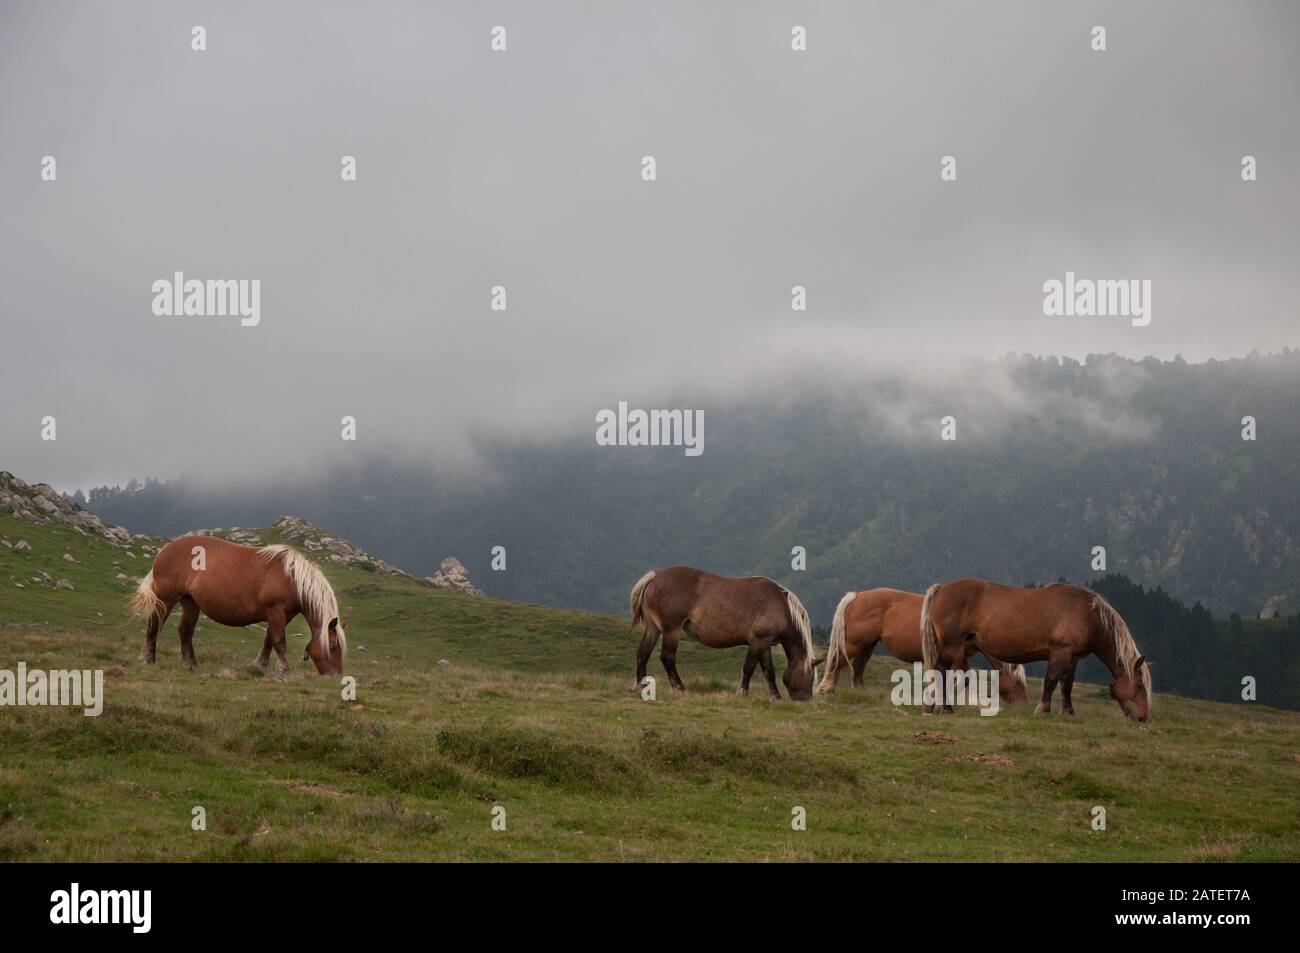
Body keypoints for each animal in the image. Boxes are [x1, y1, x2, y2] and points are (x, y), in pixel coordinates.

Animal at [129, 535, 347, 675]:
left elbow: (269, 640)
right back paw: (147, 659)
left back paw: (190, 664)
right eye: (333, 646)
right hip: (166, 599)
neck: (291, 577)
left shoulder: (282, 615)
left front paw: (259, 665)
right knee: (154, 626)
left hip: (190, 603)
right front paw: (283, 670)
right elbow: (279, 641)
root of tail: (164, 551)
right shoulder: (276, 612)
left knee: (185, 631)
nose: (335, 676)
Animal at [628, 566, 825, 700]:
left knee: (643, 653)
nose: (805, 701)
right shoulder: (758, 642)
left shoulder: (765, 644)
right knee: (667, 658)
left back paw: (641, 686)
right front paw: (742, 692)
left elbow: (768, 671)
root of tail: (654, 576)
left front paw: (775, 697)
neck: (780, 606)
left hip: (653, 629)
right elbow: (749, 668)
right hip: (671, 631)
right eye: (811, 678)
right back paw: (680, 688)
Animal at [817, 587, 1028, 705]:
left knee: (858, 668)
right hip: (855, 643)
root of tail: (857, 595)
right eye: (1018, 682)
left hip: (867, 645)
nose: (1022, 704)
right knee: (837, 661)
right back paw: (825, 689)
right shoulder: (956, 654)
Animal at [920, 579, 1151, 720]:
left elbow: (1067, 686)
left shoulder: (1073, 658)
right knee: (942, 670)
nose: (1142, 718)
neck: (1087, 615)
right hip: (952, 645)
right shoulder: (1060, 653)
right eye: (1139, 685)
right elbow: (1051, 681)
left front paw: (1068, 712)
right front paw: (1042, 709)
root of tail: (942, 588)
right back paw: (946, 708)